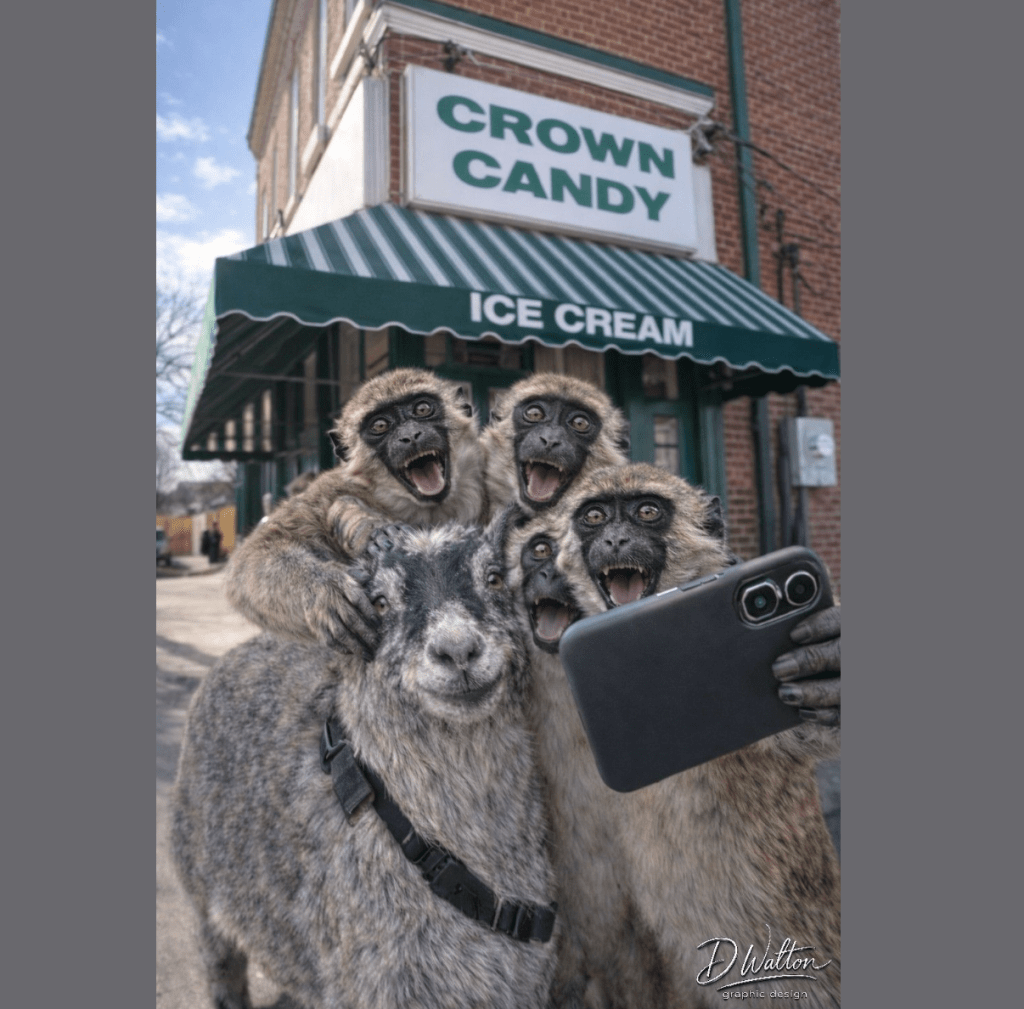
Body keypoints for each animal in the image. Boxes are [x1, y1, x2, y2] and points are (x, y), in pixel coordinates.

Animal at [225, 368, 488, 656]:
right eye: (380, 426)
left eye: (422, 409)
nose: (410, 436)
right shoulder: (334, 487)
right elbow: (255, 553)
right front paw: (325, 588)